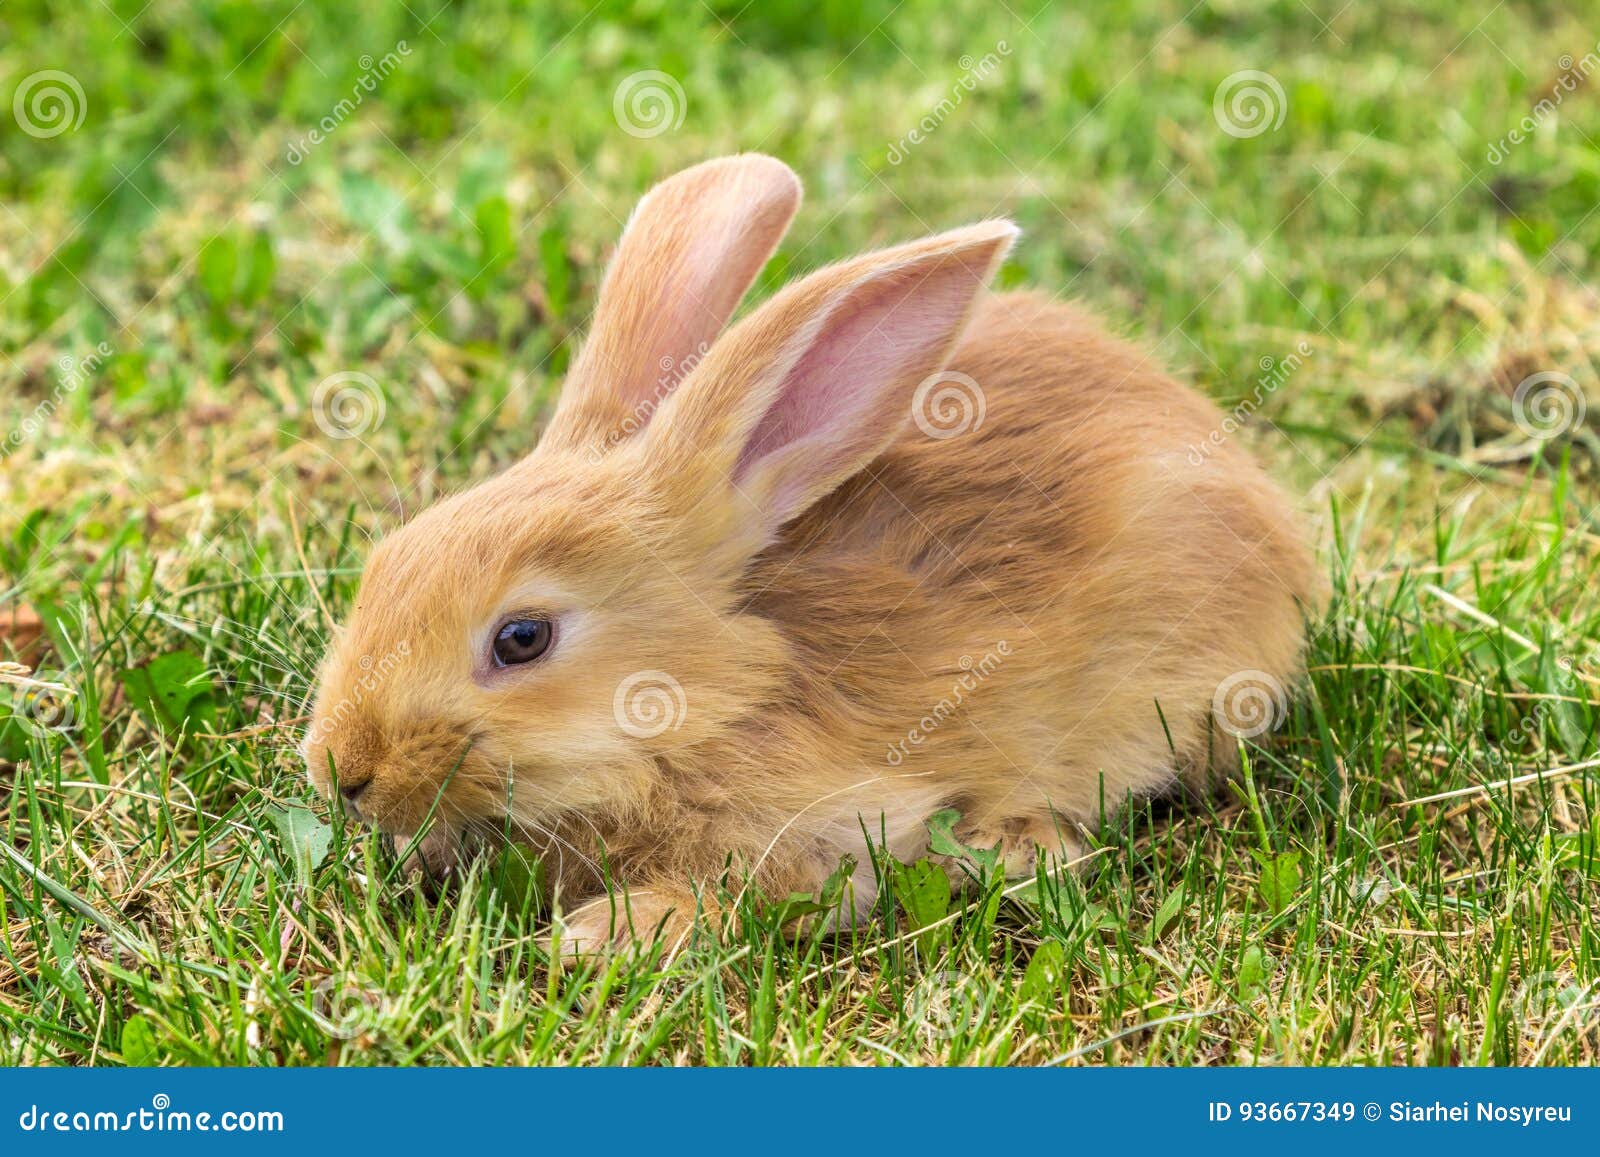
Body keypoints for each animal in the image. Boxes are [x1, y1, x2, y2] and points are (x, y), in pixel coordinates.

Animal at [303, 153, 1316, 957]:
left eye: (522, 639)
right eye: (385, 560)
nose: (342, 769)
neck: (716, 703)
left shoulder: (840, 827)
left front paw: (610, 934)